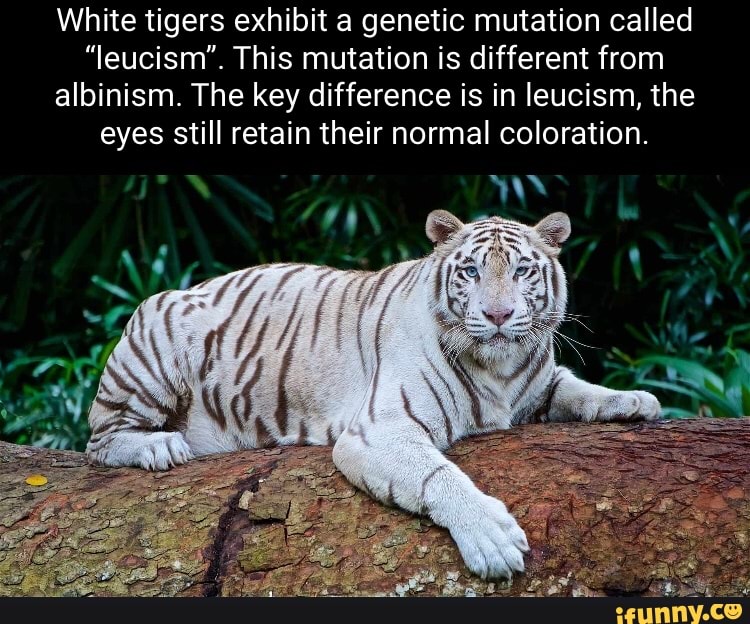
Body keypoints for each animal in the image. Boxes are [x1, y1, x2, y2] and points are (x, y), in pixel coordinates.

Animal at [86, 210, 661, 579]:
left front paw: (635, 400)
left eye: (521, 270)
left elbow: (577, 387)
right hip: (155, 340)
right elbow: (438, 475)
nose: (498, 315)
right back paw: (159, 446)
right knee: (100, 440)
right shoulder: (381, 429)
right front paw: (492, 539)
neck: (500, 368)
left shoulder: (538, 384)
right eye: (471, 270)